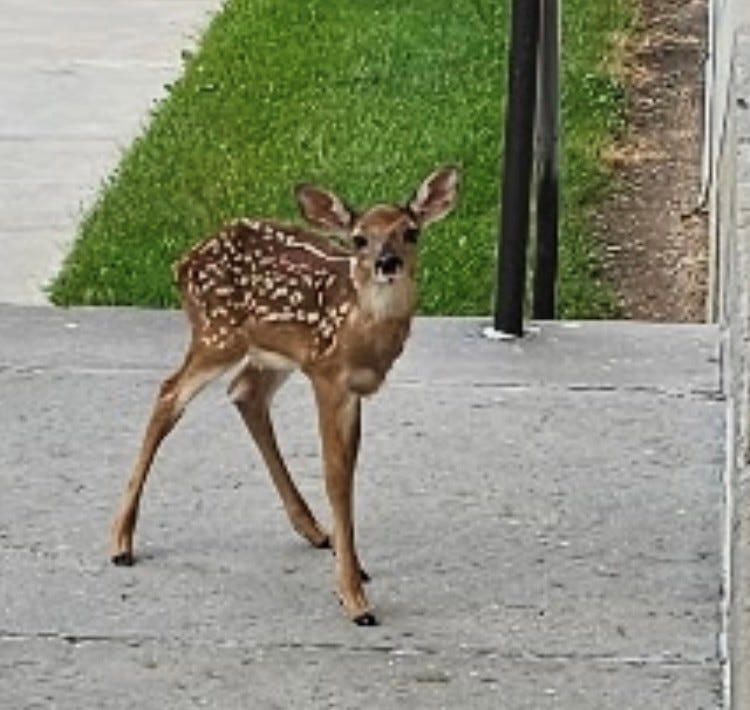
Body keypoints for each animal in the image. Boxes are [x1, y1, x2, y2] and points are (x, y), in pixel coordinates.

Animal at [109, 165, 459, 625]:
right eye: (359, 238)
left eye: (411, 232)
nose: (388, 263)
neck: (360, 330)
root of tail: (182, 263)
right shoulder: (328, 376)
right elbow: (336, 476)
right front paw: (354, 598)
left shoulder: (350, 388)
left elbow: (347, 470)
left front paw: (354, 570)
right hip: (217, 334)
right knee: (170, 394)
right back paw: (121, 542)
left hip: (271, 353)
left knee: (244, 392)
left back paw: (315, 531)